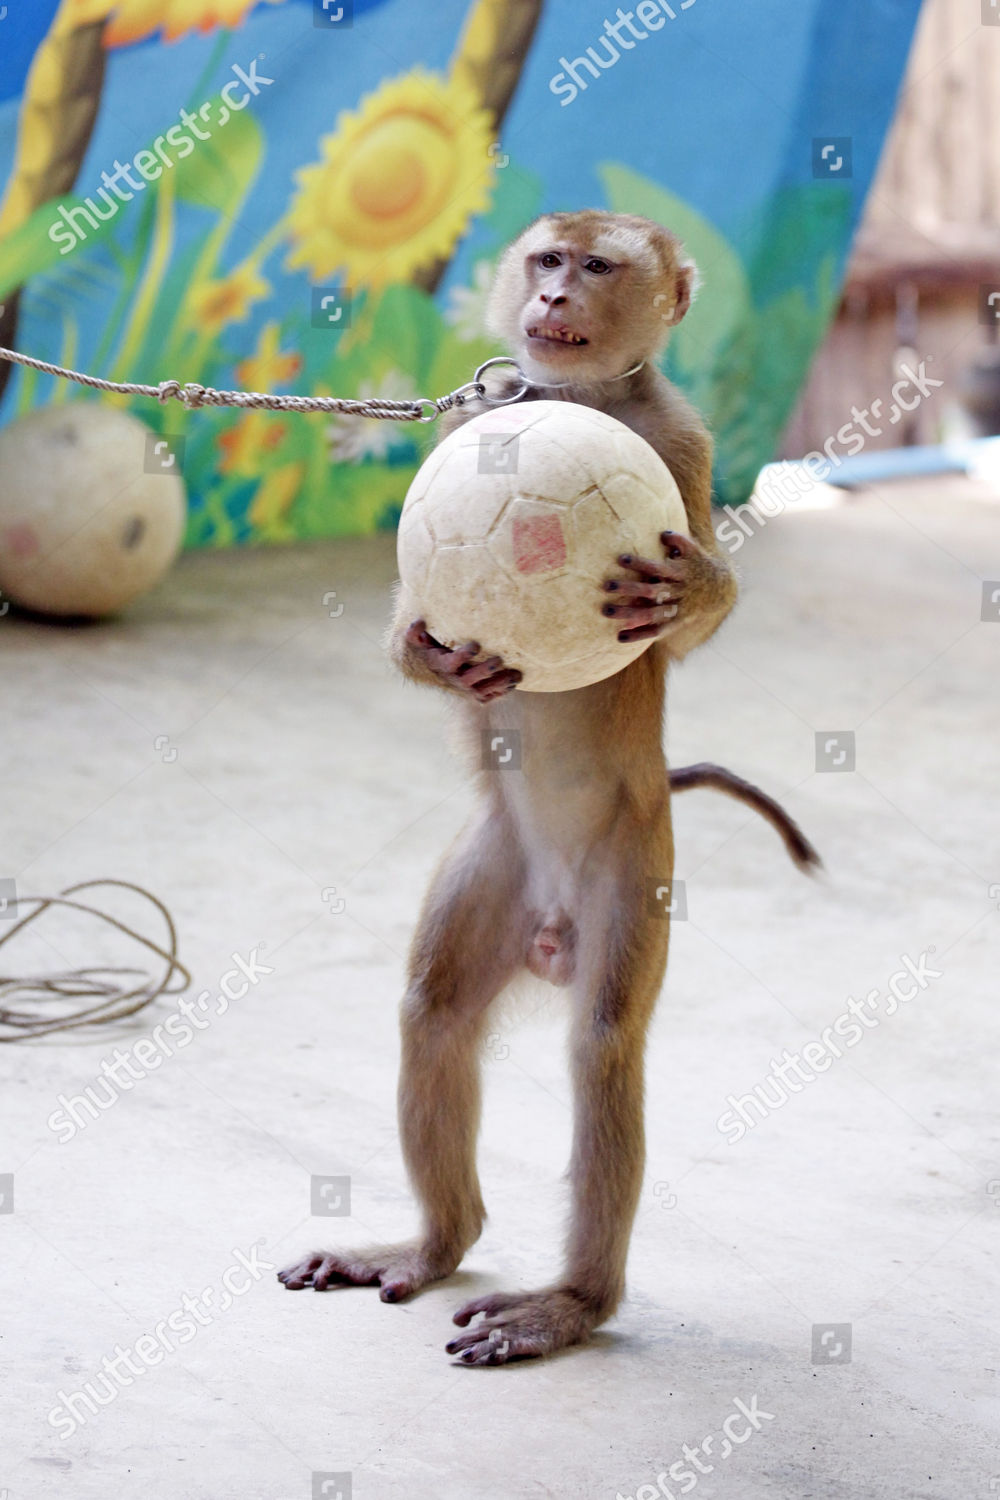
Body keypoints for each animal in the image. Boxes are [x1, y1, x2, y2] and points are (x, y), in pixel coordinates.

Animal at [279, 211, 819, 1362]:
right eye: (546, 259)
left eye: (597, 265)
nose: (553, 300)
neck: (586, 396)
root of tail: (551, 922)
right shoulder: (476, 422)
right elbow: (413, 619)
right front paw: (434, 655)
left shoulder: (682, 439)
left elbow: (684, 625)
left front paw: (694, 591)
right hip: (496, 862)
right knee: (435, 1014)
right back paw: (436, 1242)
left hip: (631, 866)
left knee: (602, 1049)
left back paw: (573, 1301)